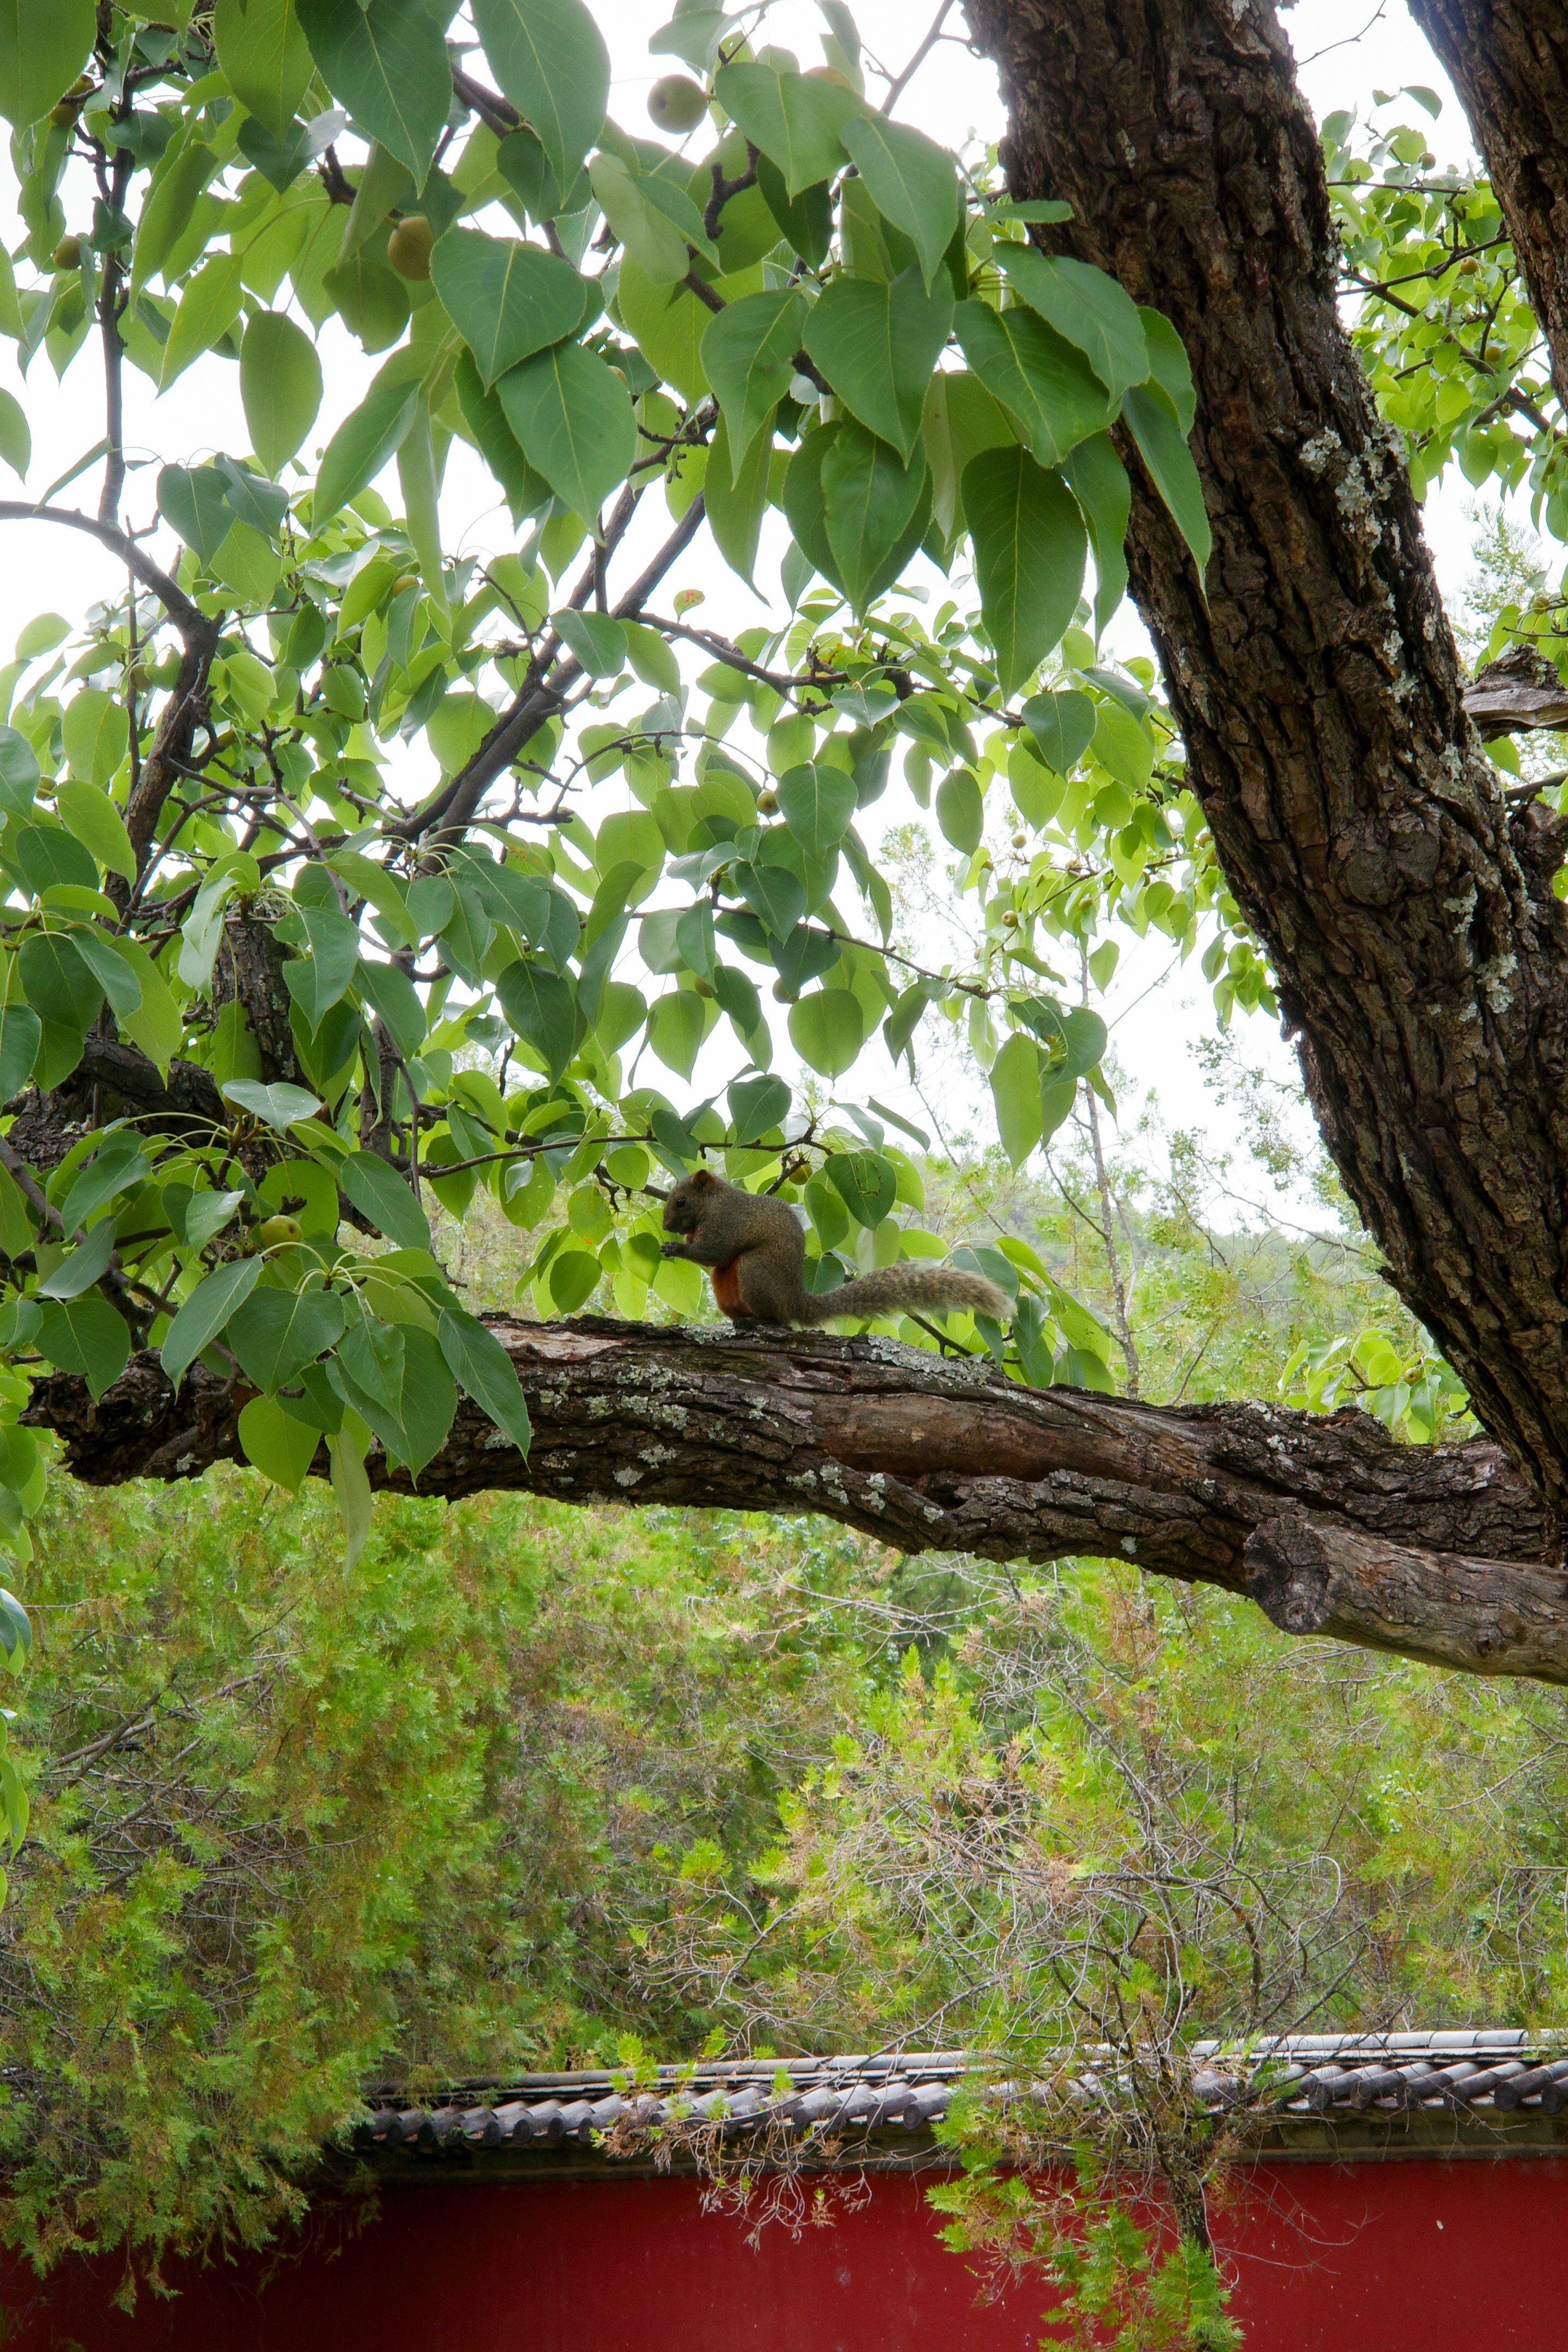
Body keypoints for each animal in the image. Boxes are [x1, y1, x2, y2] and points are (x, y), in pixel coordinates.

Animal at [660, 1167, 1009, 1328]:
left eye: (681, 1201)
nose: (665, 1226)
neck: (714, 1202)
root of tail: (797, 1301)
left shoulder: (727, 1221)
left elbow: (714, 1251)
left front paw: (676, 1249)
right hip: (725, 1286)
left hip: (755, 1270)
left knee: (780, 1319)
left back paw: (760, 1320)